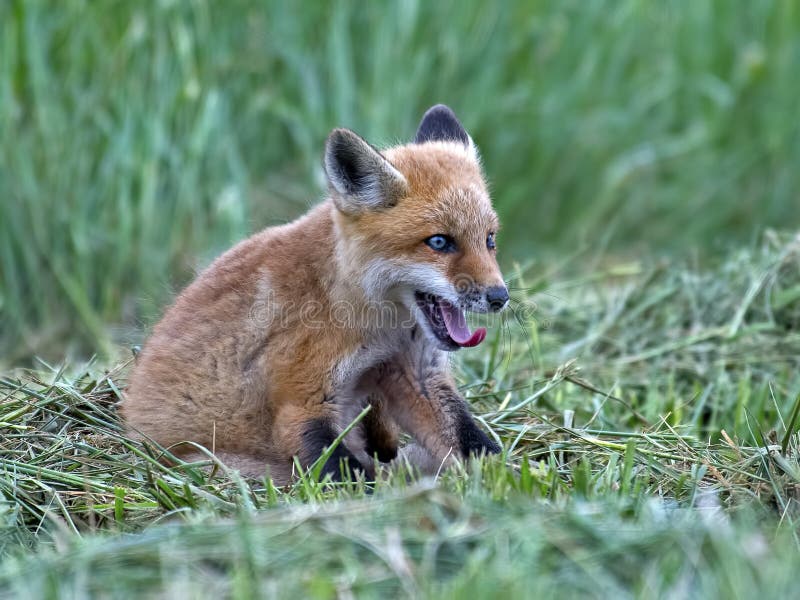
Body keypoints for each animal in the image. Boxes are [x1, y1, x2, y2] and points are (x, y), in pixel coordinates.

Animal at [121, 104, 509, 484]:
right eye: (440, 242)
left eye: (489, 240)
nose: (500, 297)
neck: (380, 326)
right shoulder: (302, 403)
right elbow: (354, 481)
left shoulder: (414, 373)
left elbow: (473, 443)